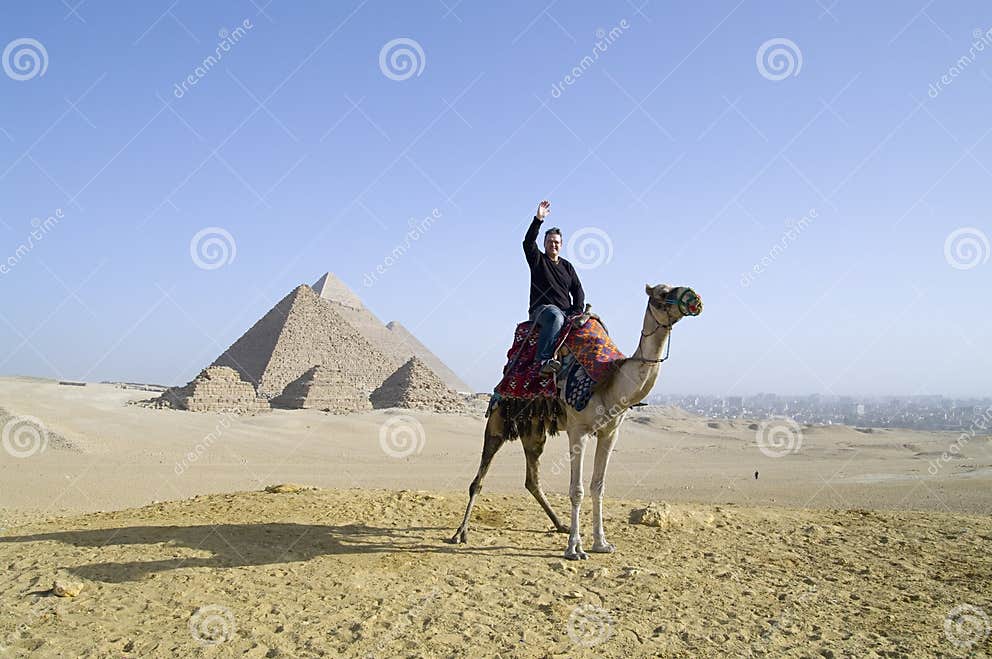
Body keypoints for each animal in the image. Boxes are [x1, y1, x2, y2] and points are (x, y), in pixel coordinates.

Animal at [448, 283, 701, 559]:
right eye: (661, 294)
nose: (695, 299)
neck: (612, 380)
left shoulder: (610, 432)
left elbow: (598, 486)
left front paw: (601, 543)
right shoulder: (578, 430)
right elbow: (577, 490)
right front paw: (574, 548)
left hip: (533, 430)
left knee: (532, 479)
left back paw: (560, 524)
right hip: (498, 419)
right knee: (479, 479)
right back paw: (460, 533)